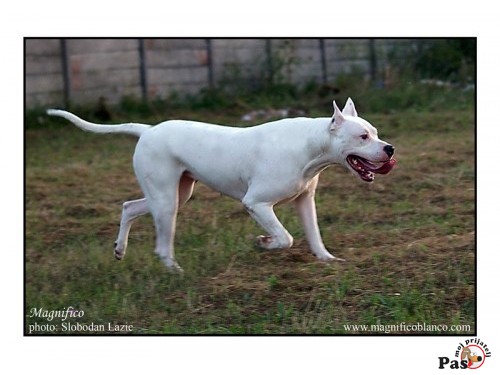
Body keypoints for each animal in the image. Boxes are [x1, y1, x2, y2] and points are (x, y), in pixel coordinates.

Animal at [48, 98, 396, 272]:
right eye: (363, 137)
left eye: (376, 133)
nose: (390, 149)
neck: (310, 145)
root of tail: (147, 130)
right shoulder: (256, 204)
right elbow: (285, 238)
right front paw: (264, 243)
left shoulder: (304, 201)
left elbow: (313, 235)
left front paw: (327, 260)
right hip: (167, 201)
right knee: (161, 243)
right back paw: (174, 270)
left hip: (175, 194)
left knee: (129, 207)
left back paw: (120, 250)